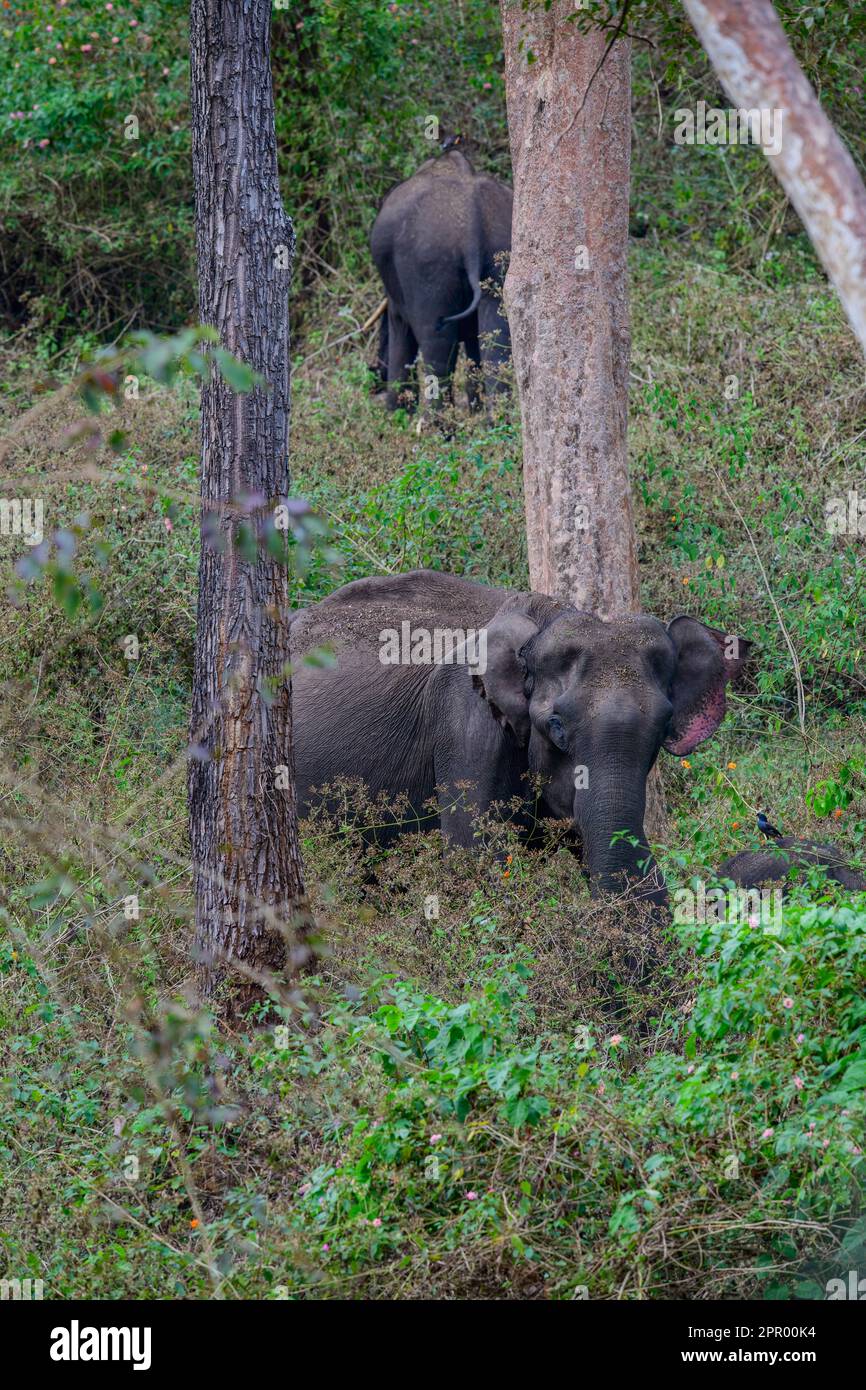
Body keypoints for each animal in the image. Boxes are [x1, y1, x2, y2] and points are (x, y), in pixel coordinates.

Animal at [370, 147, 512, 411]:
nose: (373, 378)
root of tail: (471, 229)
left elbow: (400, 333)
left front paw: (395, 415)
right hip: (499, 259)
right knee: (495, 347)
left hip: (429, 267)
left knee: (437, 352)